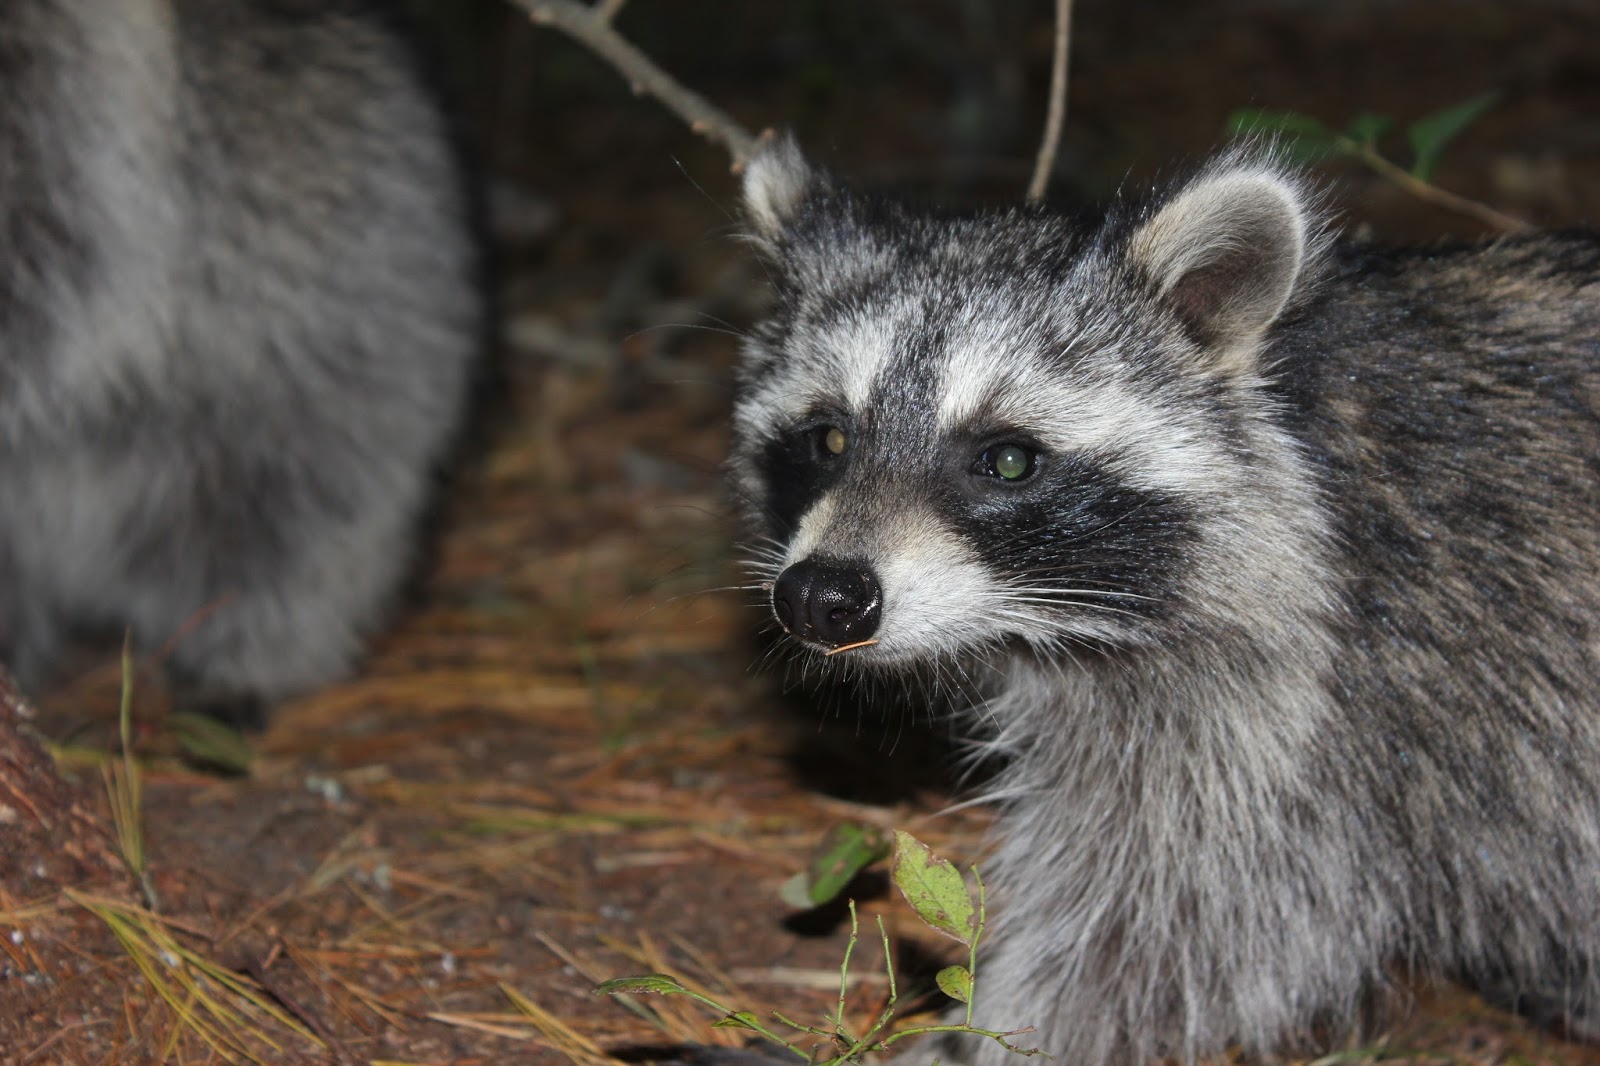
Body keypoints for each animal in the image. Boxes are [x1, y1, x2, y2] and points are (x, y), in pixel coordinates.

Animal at [730, 136, 1600, 1064]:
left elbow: (1191, 925)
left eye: (1008, 460)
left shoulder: (1338, 698)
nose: (822, 597)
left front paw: (989, 1034)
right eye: (829, 439)